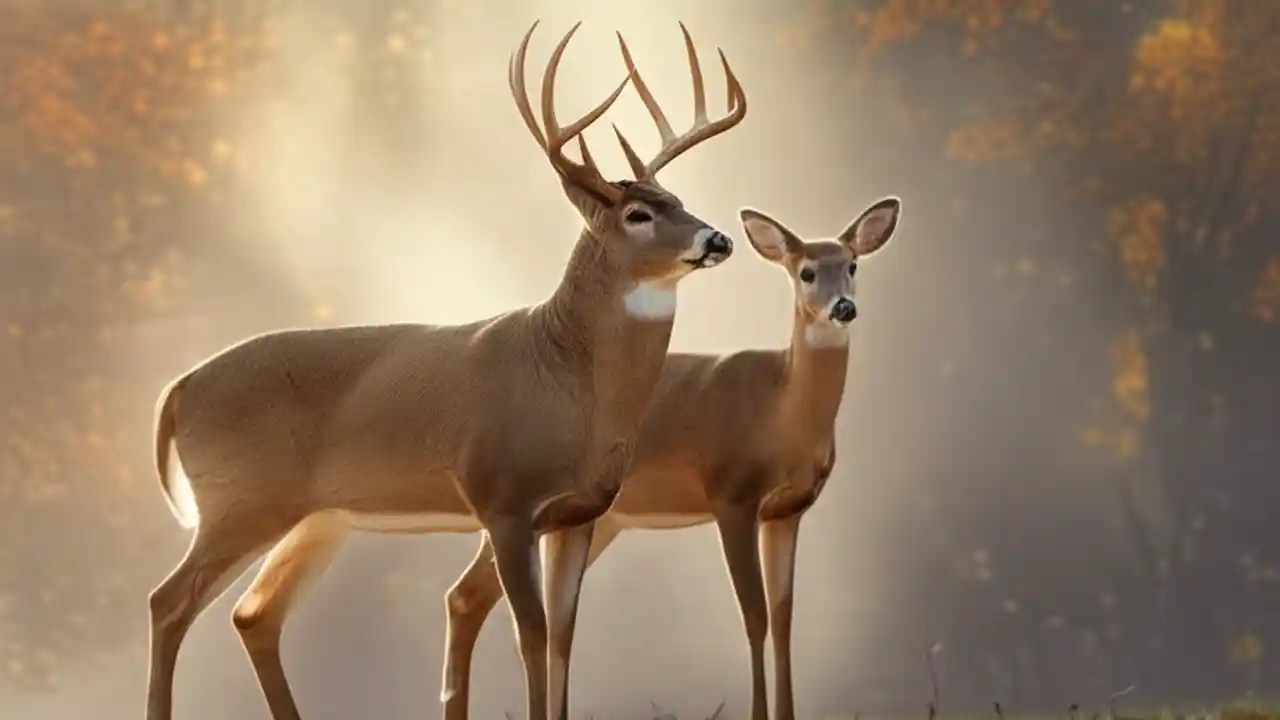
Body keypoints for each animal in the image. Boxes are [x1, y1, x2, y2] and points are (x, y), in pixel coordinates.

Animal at [144, 20, 747, 720]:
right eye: (637, 214)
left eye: (679, 198)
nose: (717, 239)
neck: (570, 382)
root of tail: (176, 390)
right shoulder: (502, 498)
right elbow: (531, 632)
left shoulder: (577, 513)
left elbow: (564, 636)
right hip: (238, 500)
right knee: (169, 601)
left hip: (317, 518)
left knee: (254, 613)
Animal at [440, 195, 901, 720]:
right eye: (806, 272)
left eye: (852, 265)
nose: (843, 307)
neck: (783, 414)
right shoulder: (732, 494)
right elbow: (755, 615)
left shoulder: (788, 510)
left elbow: (785, 618)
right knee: (473, 596)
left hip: (584, 521)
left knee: (471, 598)